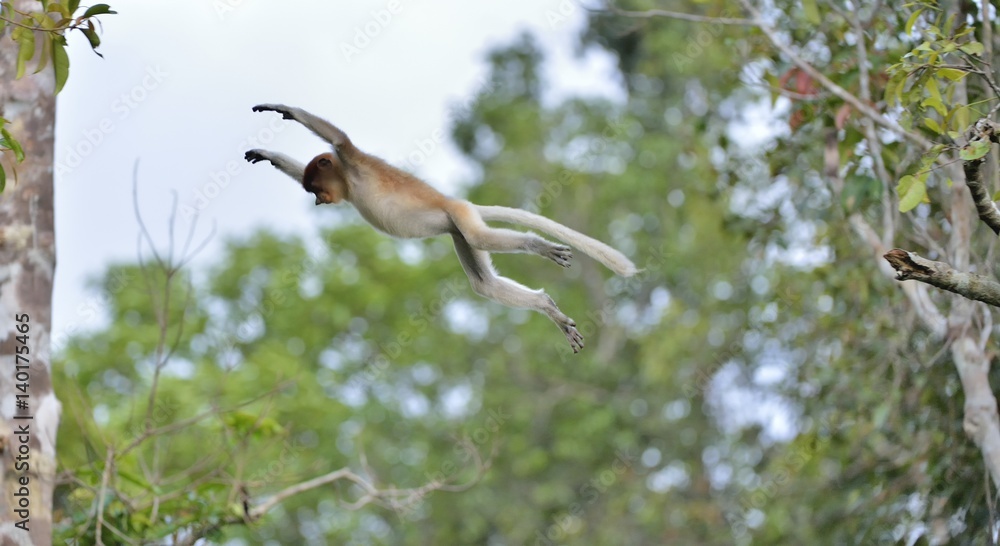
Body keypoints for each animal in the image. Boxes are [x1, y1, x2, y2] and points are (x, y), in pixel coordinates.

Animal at [244, 104, 637, 353]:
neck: (349, 183)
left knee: (482, 238)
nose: (317, 202)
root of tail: (457, 202)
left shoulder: (356, 163)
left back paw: (541, 249)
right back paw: (548, 306)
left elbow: (341, 140)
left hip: (459, 217)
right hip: (456, 230)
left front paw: (283, 110)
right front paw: (266, 154)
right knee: (484, 283)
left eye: (315, 188)